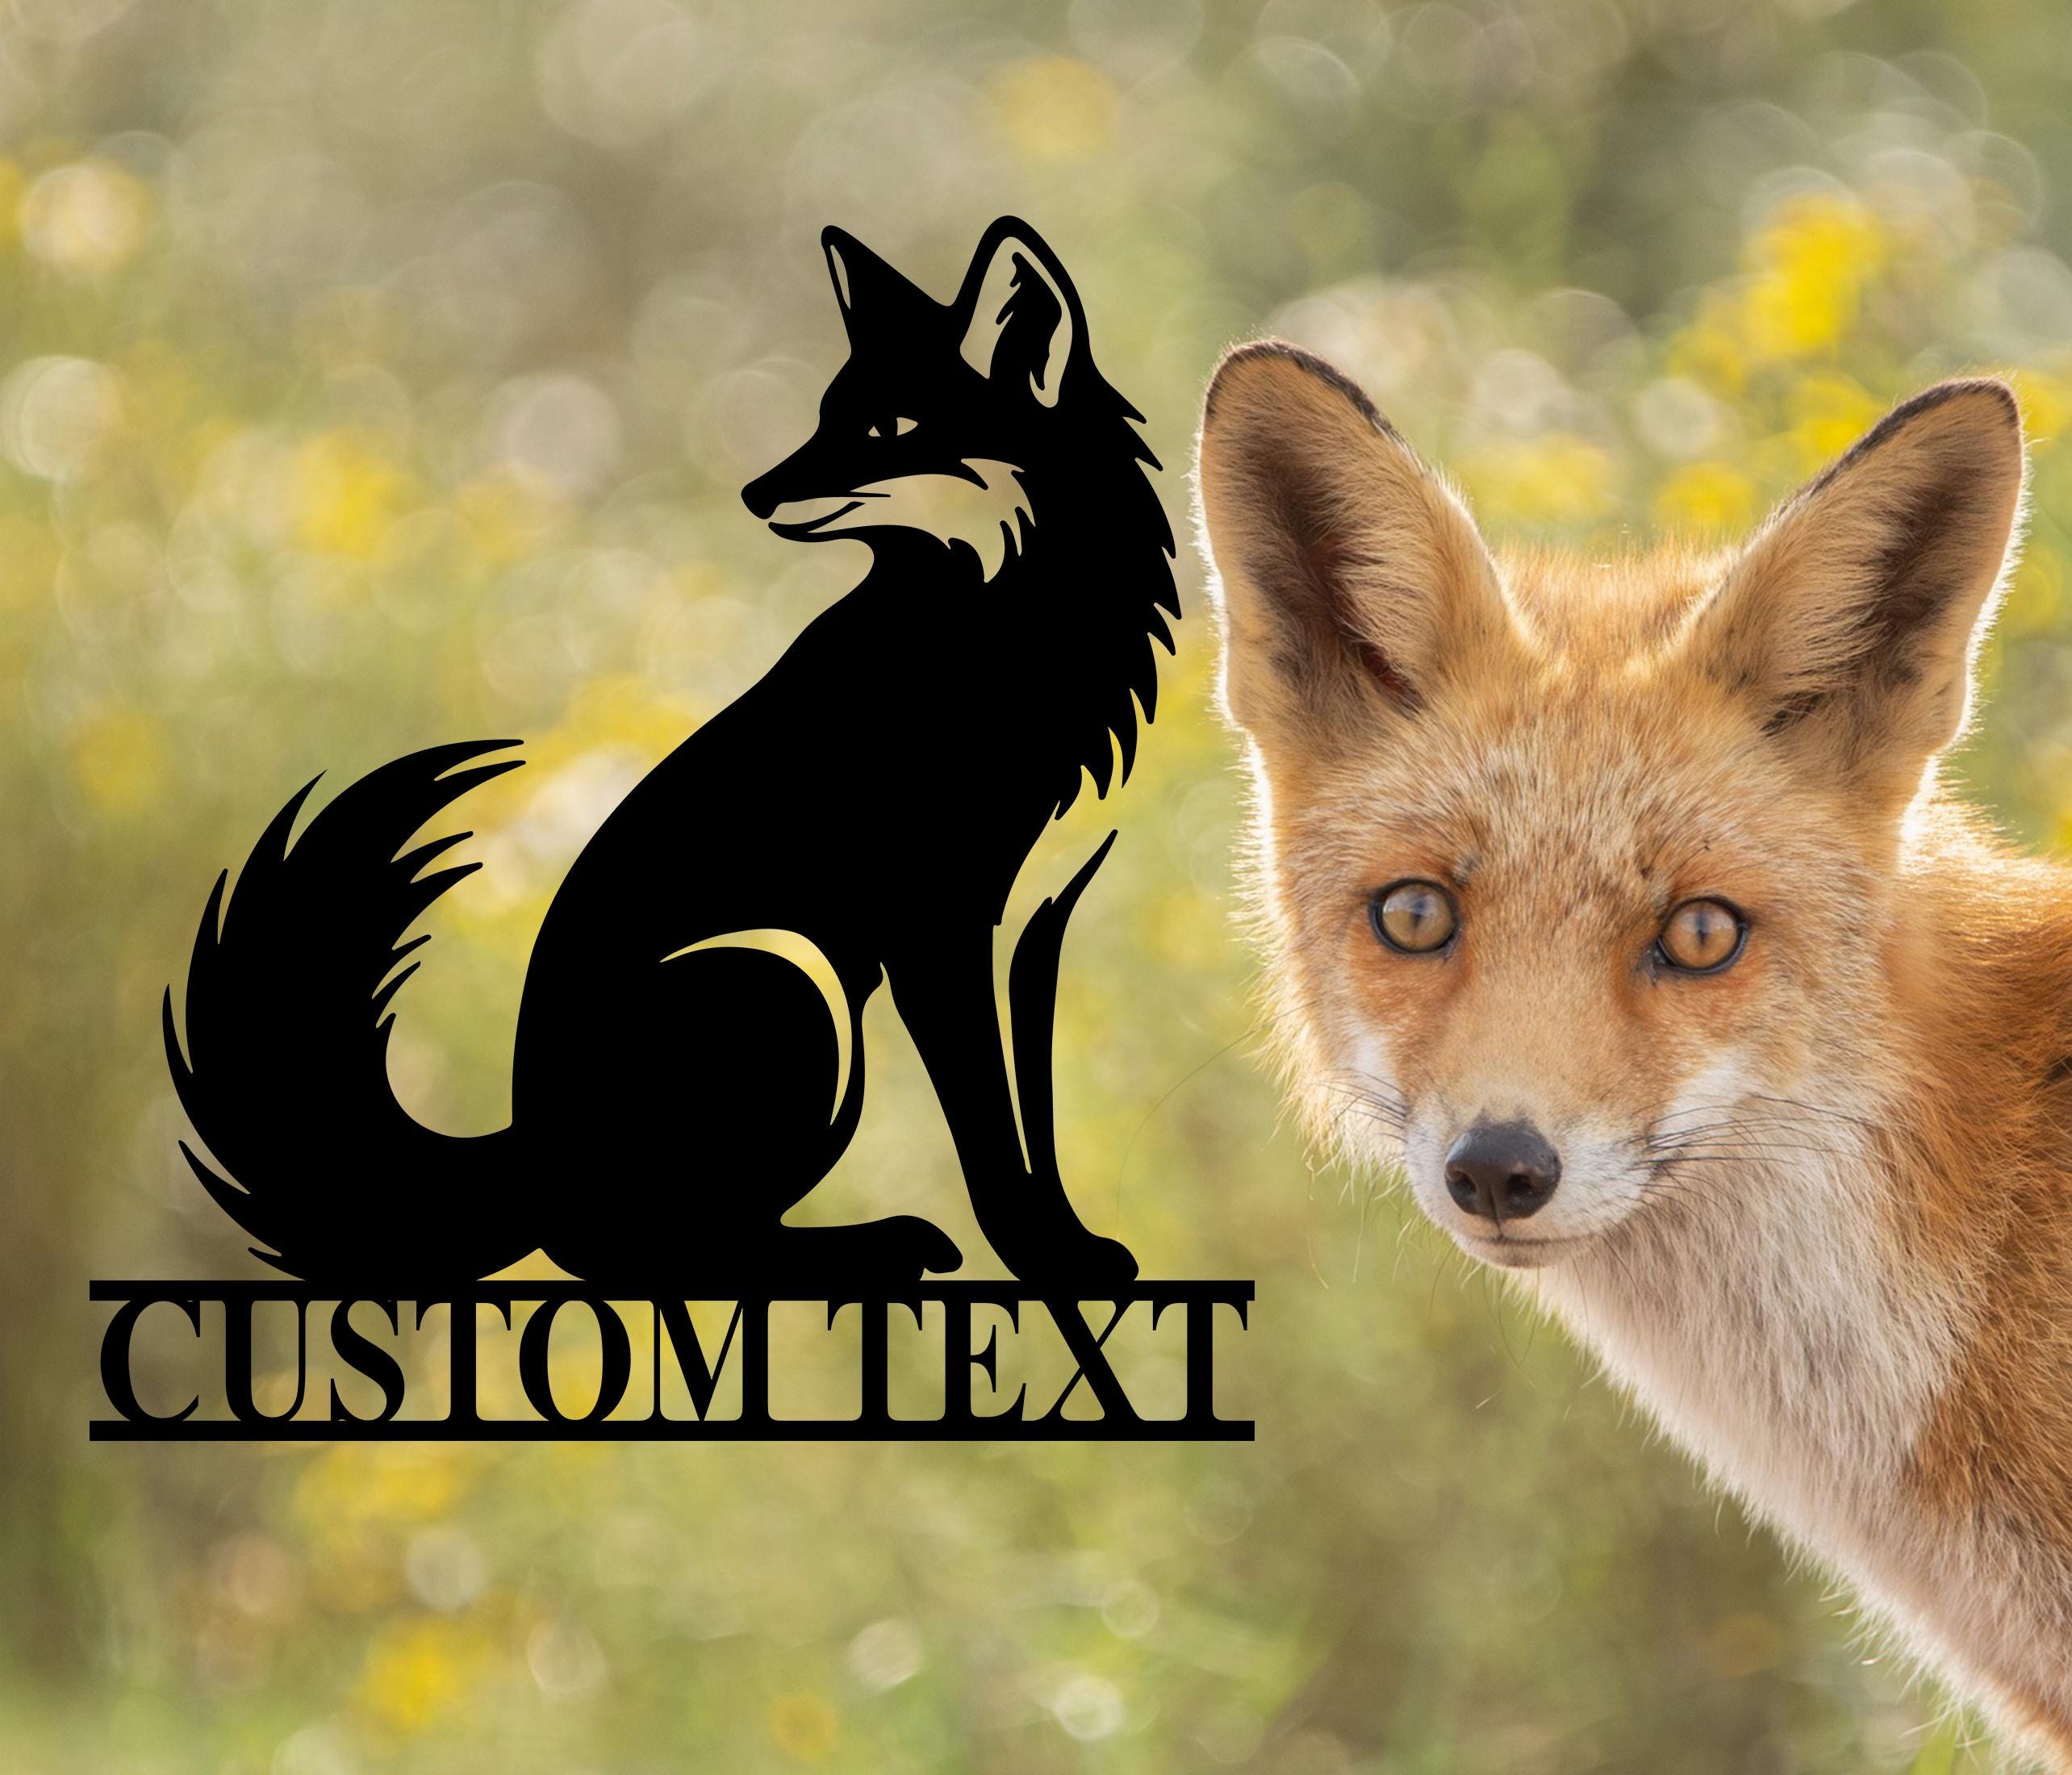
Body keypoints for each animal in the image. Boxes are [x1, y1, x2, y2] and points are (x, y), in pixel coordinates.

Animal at [162, 217, 1176, 1293]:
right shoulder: (932, 926)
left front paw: (1070, 1250)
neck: (1001, 642)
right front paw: (1038, 1257)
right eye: (826, 416)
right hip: (790, 979)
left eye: (885, 428)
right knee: (644, 1248)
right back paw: (871, 1247)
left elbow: (1036, 1124)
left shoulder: (1036, 918)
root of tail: (524, 1146)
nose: (753, 492)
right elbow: (989, 1136)